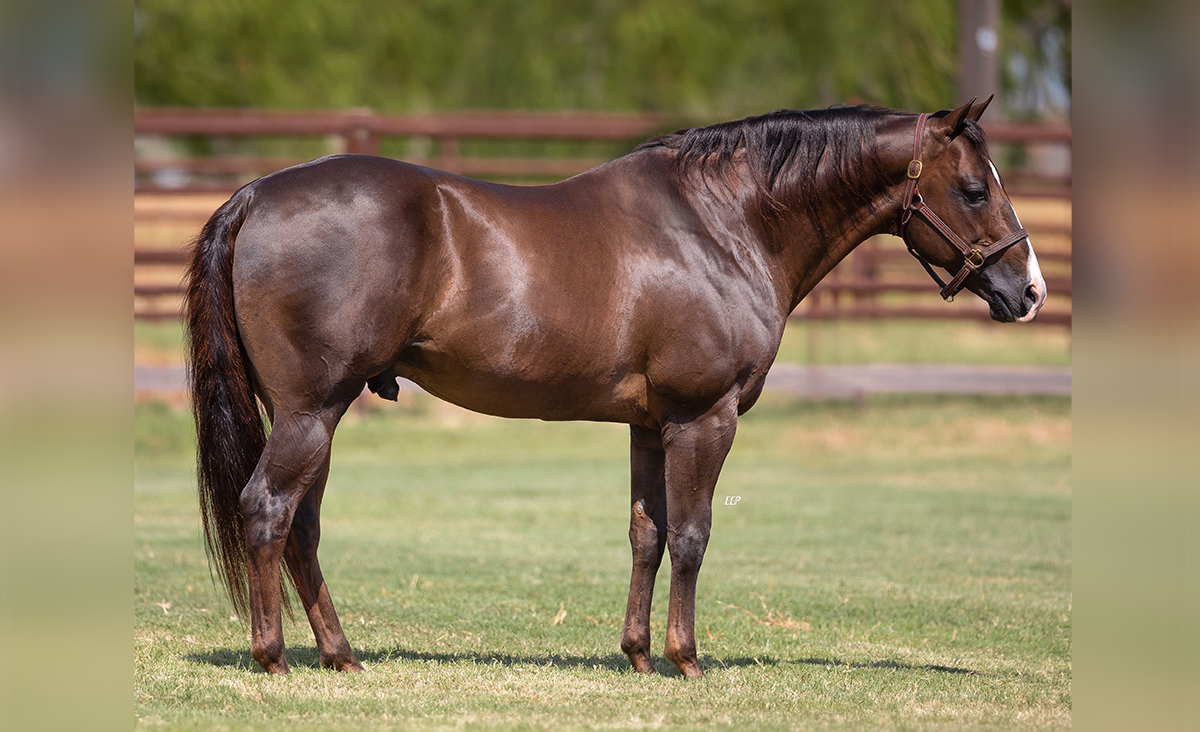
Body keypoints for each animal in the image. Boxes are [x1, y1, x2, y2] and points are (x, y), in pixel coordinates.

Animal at [185, 97, 1046, 679]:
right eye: (975, 189)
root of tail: (256, 195)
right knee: (267, 510)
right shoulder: (705, 418)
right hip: (311, 411)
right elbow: (693, 535)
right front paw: (687, 659)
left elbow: (647, 534)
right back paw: (273, 657)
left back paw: (341, 655)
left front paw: (636, 654)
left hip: (311, 414)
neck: (721, 225)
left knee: (301, 527)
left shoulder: (649, 425)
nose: (1030, 290)